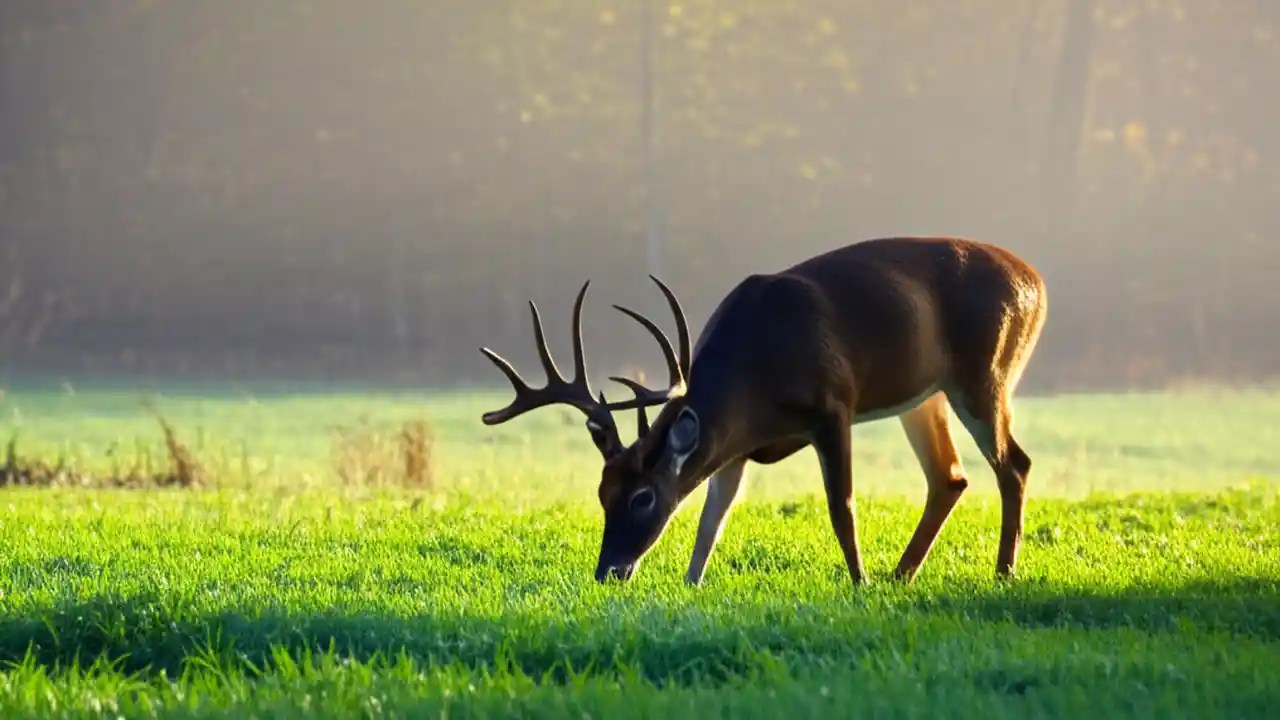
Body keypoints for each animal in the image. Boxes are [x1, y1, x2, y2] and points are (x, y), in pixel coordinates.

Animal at [480, 236, 1048, 587]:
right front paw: (691, 584)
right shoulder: (734, 446)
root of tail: (1037, 282)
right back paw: (902, 574)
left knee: (1014, 464)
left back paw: (1001, 572)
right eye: (602, 493)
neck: (755, 376)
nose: (610, 572)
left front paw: (859, 581)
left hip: (984, 373)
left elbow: (841, 505)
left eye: (643, 498)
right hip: (927, 396)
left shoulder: (833, 404)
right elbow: (711, 518)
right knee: (950, 477)